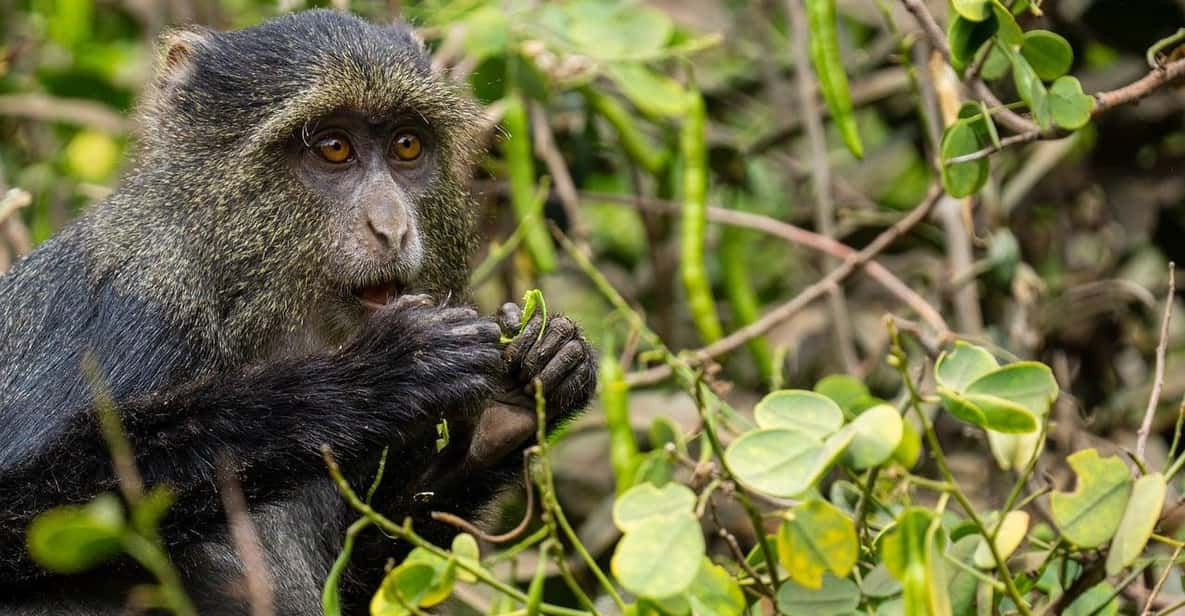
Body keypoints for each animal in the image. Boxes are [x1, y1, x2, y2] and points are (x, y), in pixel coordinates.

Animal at [0, 10, 597, 615]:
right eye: (333, 148)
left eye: (407, 146)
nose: (393, 227)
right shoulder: (134, 317)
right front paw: (381, 376)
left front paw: (524, 390)